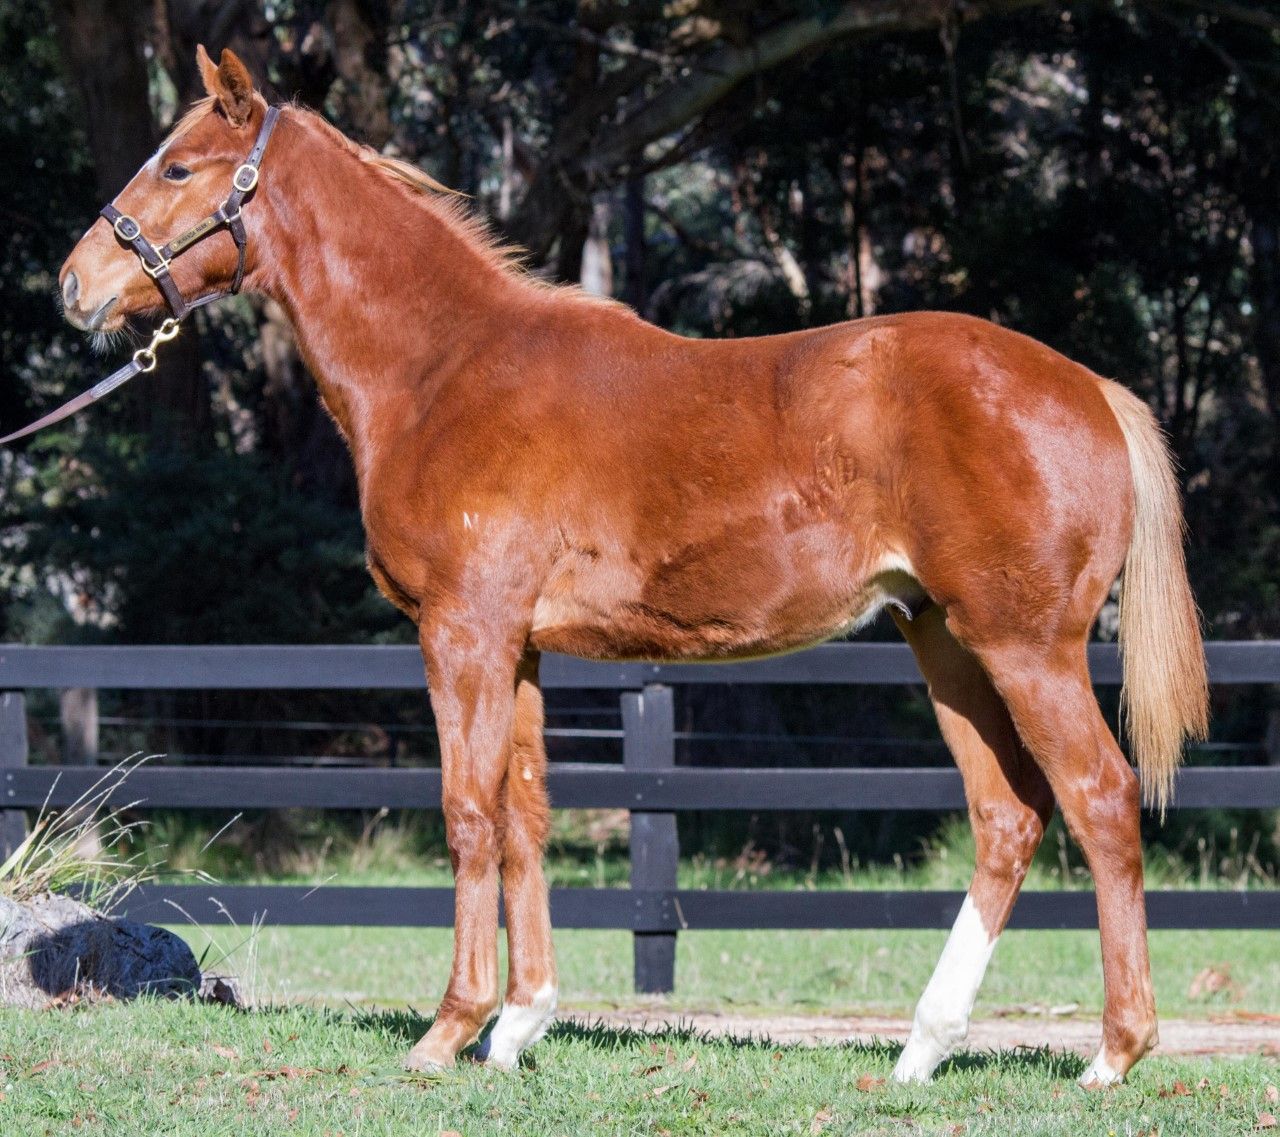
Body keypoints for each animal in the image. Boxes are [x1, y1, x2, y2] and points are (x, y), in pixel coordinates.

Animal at [56, 46, 1208, 1088]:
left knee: (1101, 799)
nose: (74, 285)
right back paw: (921, 1050)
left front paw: (448, 1030)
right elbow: (523, 817)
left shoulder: (462, 630)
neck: (443, 370)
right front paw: (518, 1027)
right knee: (1008, 816)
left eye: (177, 167)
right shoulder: (516, 646)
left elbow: (467, 814)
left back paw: (1111, 1054)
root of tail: (1090, 387)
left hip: (1023, 646)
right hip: (943, 642)